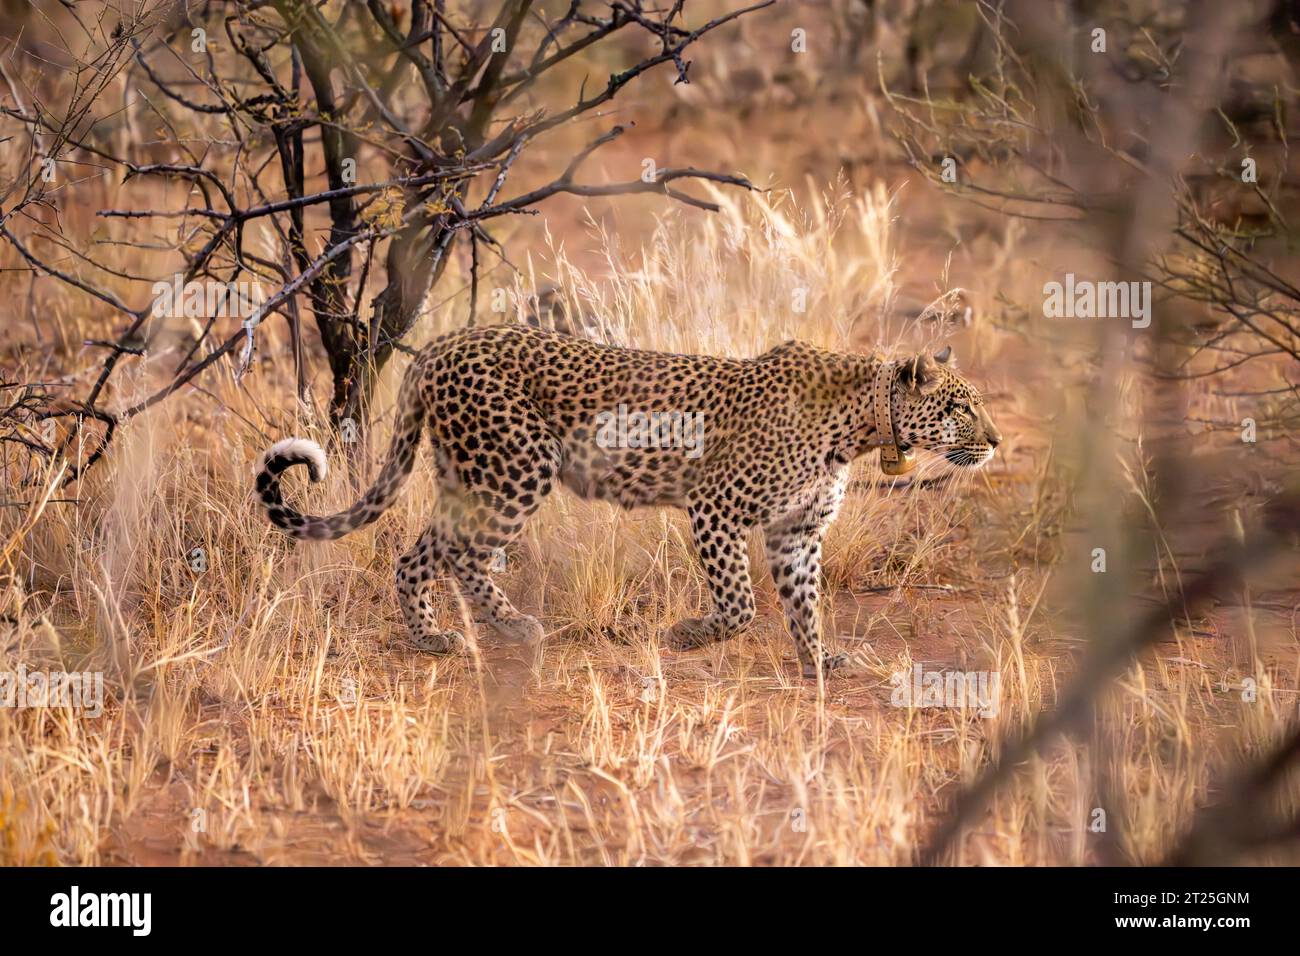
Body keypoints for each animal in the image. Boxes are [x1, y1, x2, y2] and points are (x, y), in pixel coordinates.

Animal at [253, 325, 1001, 679]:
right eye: (961, 406)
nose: (995, 440)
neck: (860, 424)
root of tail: (439, 346)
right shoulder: (716, 507)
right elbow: (739, 603)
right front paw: (689, 634)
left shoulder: (797, 533)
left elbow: (804, 603)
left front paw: (819, 662)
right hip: (516, 468)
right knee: (458, 554)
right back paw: (494, 629)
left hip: (477, 475)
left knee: (426, 555)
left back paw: (445, 634)